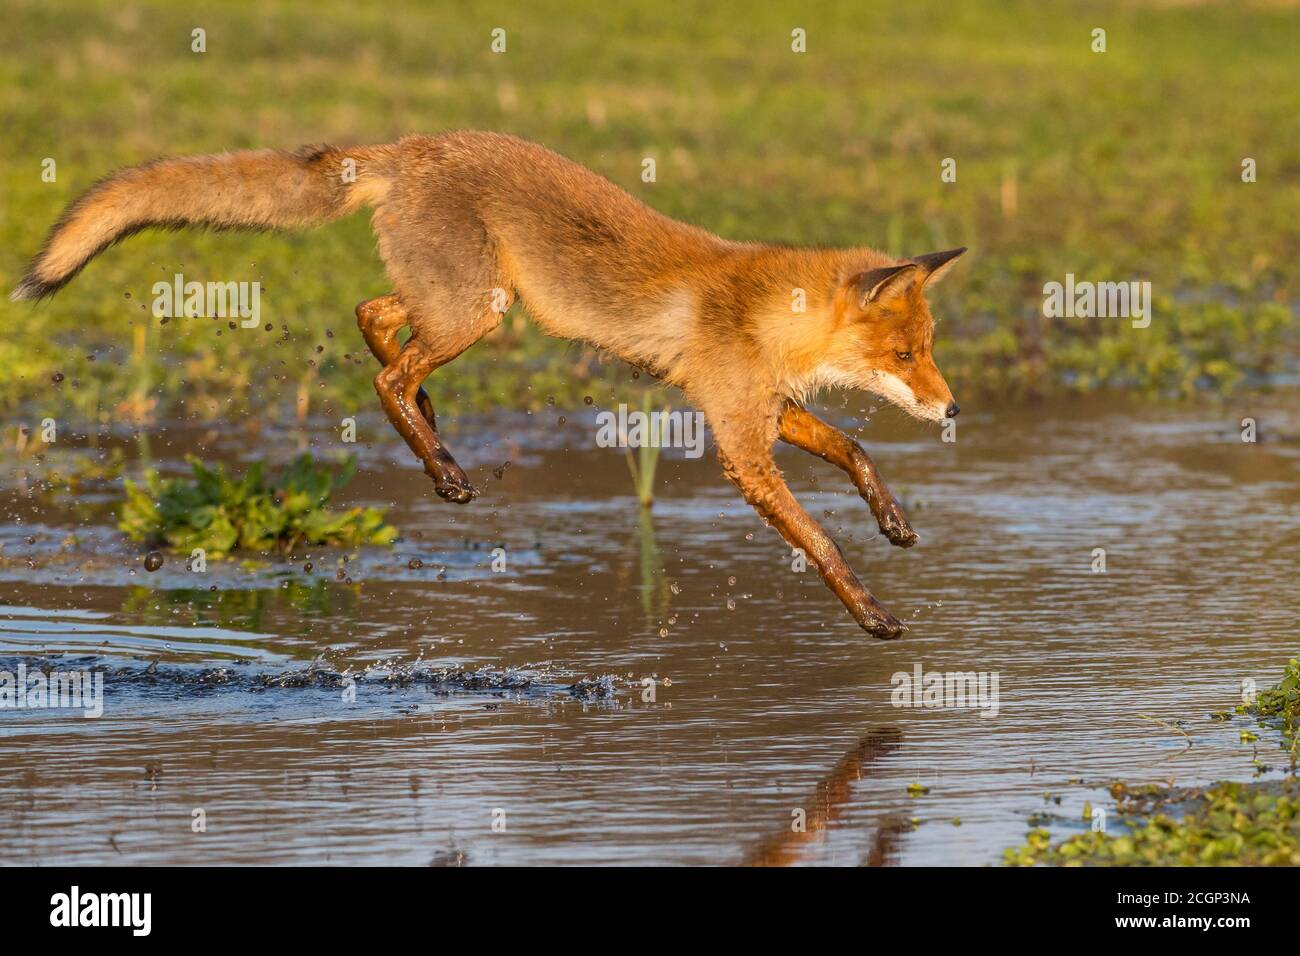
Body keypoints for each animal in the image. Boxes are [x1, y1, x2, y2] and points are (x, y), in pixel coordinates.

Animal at [12, 130, 965, 638]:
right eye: (907, 354)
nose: (953, 405)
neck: (763, 314)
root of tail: (407, 146)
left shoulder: (768, 411)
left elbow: (856, 447)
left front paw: (895, 521)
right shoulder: (740, 441)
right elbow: (821, 542)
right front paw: (871, 612)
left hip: (458, 301)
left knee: (373, 318)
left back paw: (432, 423)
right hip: (482, 310)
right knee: (387, 374)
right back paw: (442, 468)